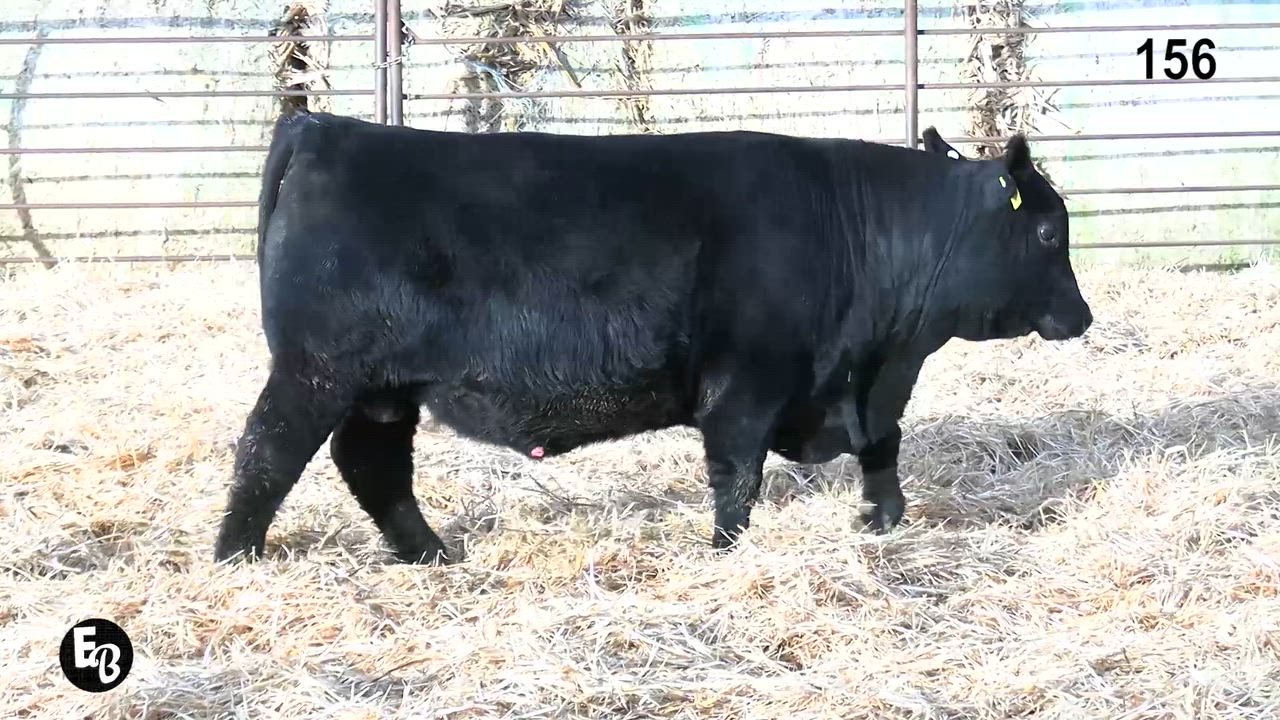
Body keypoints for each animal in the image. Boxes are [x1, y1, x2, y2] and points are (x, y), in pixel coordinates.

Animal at [213, 111, 1092, 565]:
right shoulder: (746, 384)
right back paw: (237, 555)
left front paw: (881, 520)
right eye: (1050, 232)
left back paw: (432, 553)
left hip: (383, 388)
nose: (1082, 317)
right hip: (318, 369)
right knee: (268, 449)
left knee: (371, 463)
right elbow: (736, 473)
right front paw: (726, 551)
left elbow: (885, 443)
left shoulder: (858, 386)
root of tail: (324, 125)